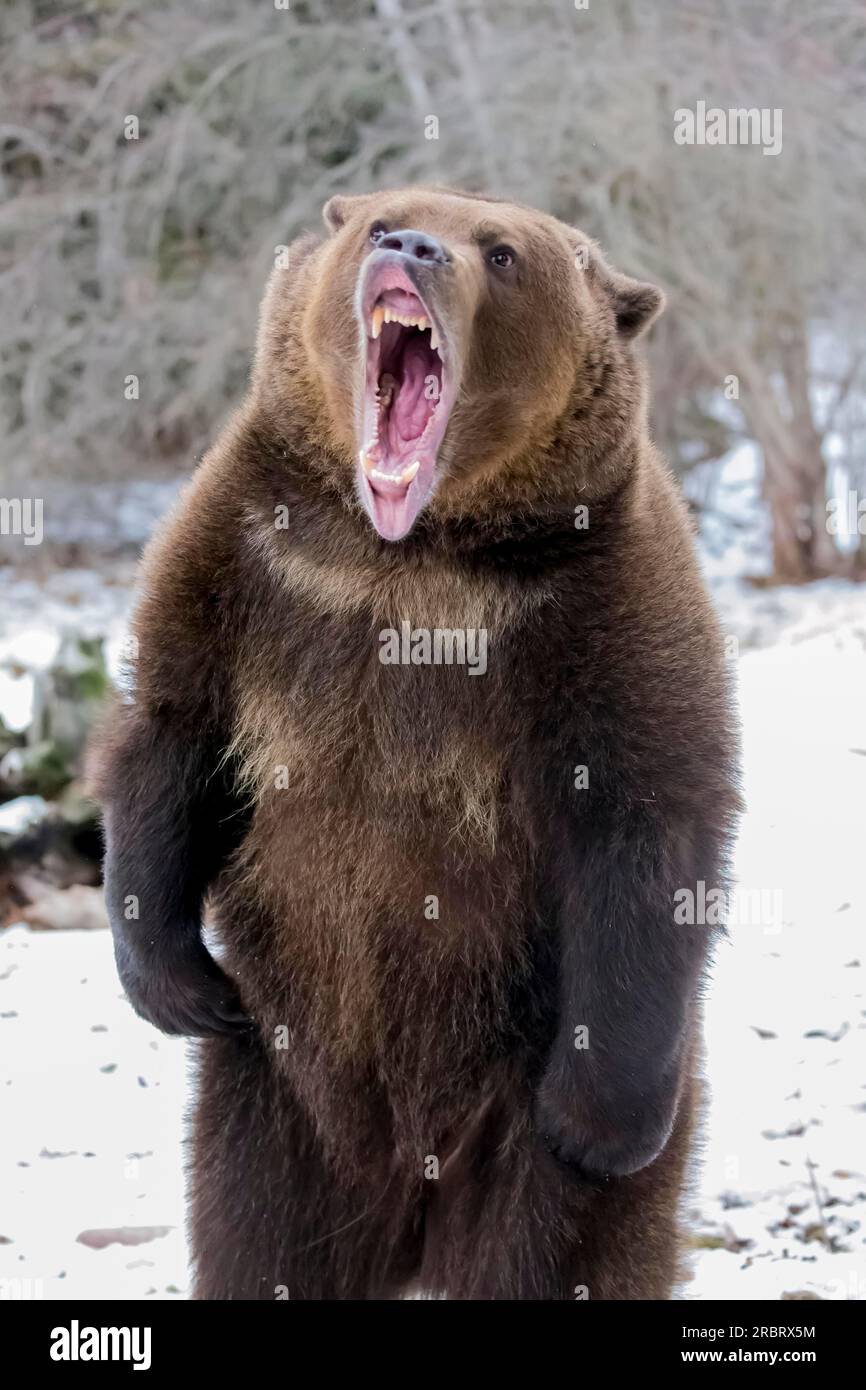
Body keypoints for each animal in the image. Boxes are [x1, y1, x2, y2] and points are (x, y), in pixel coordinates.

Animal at [93, 186, 740, 1300]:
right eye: (377, 218)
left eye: (503, 250)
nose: (413, 246)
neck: (407, 551)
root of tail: (413, 1192)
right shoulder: (251, 566)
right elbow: (173, 734)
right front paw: (178, 985)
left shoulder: (601, 601)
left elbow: (651, 810)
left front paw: (599, 1118)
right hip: (278, 1105)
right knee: (260, 1242)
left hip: (507, 1102)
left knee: (549, 1255)